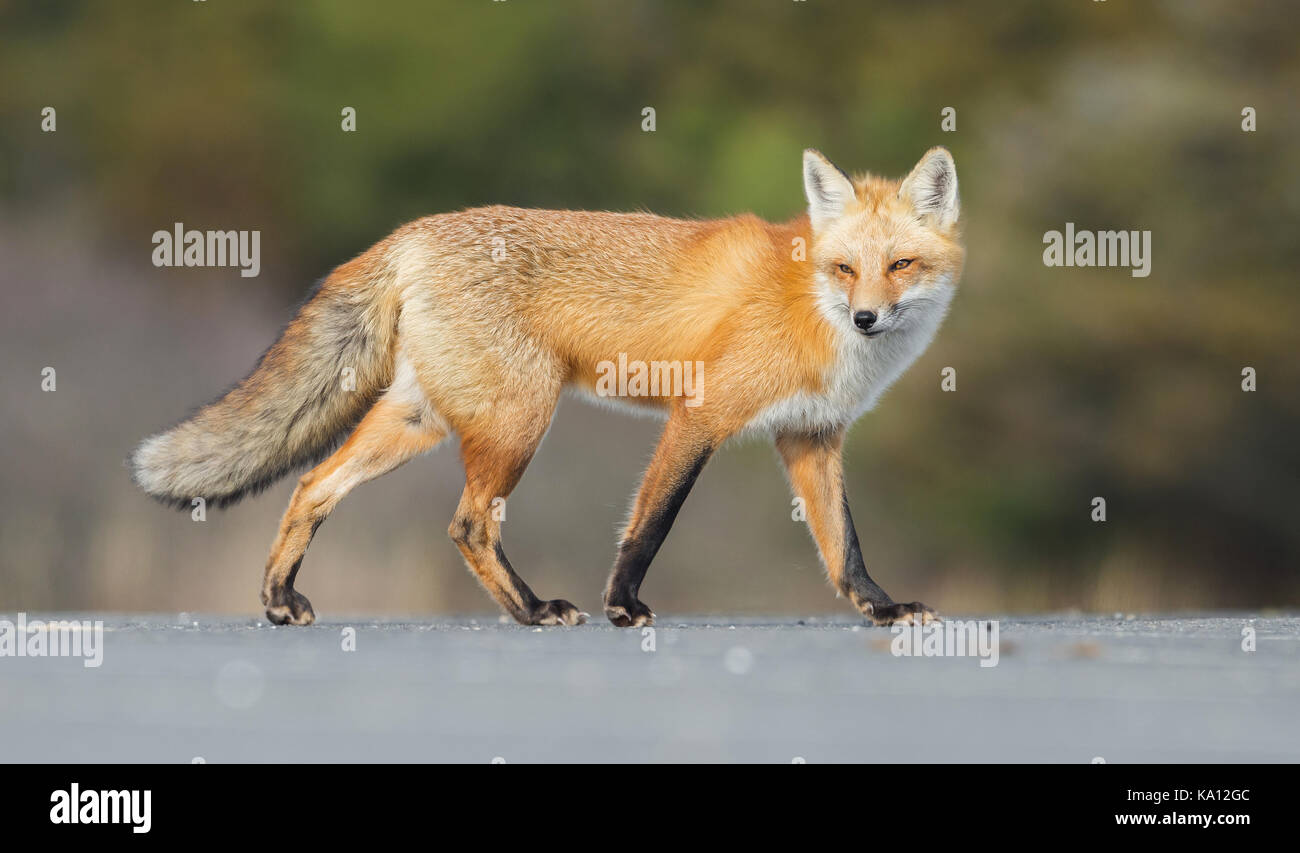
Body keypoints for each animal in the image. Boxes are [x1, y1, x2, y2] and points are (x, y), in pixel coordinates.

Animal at [130, 147, 964, 628]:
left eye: (901, 266)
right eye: (844, 268)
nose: (865, 318)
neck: (808, 304)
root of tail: (410, 233)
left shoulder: (810, 436)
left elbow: (843, 544)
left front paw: (881, 606)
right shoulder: (700, 414)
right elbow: (650, 524)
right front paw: (622, 605)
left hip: (421, 419)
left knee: (311, 485)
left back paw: (277, 597)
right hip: (520, 420)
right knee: (468, 524)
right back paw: (532, 611)